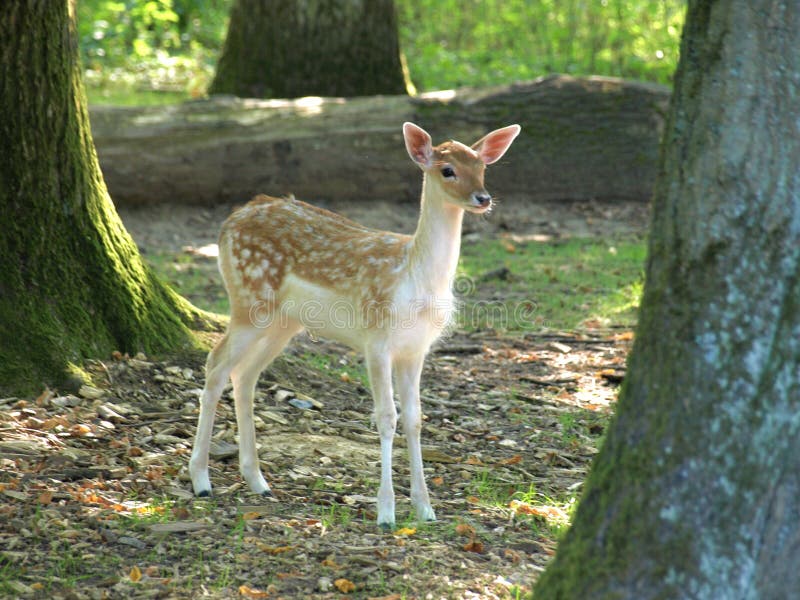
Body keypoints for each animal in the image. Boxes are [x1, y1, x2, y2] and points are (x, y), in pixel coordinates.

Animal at [189, 121, 521, 527]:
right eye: (447, 170)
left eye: (482, 167)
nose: (483, 198)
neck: (414, 277)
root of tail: (229, 222)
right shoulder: (376, 338)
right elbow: (386, 417)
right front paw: (386, 512)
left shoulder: (416, 349)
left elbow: (415, 418)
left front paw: (425, 509)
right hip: (249, 300)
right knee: (217, 364)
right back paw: (201, 480)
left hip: (282, 321)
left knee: (244, 374)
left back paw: (257, 481)